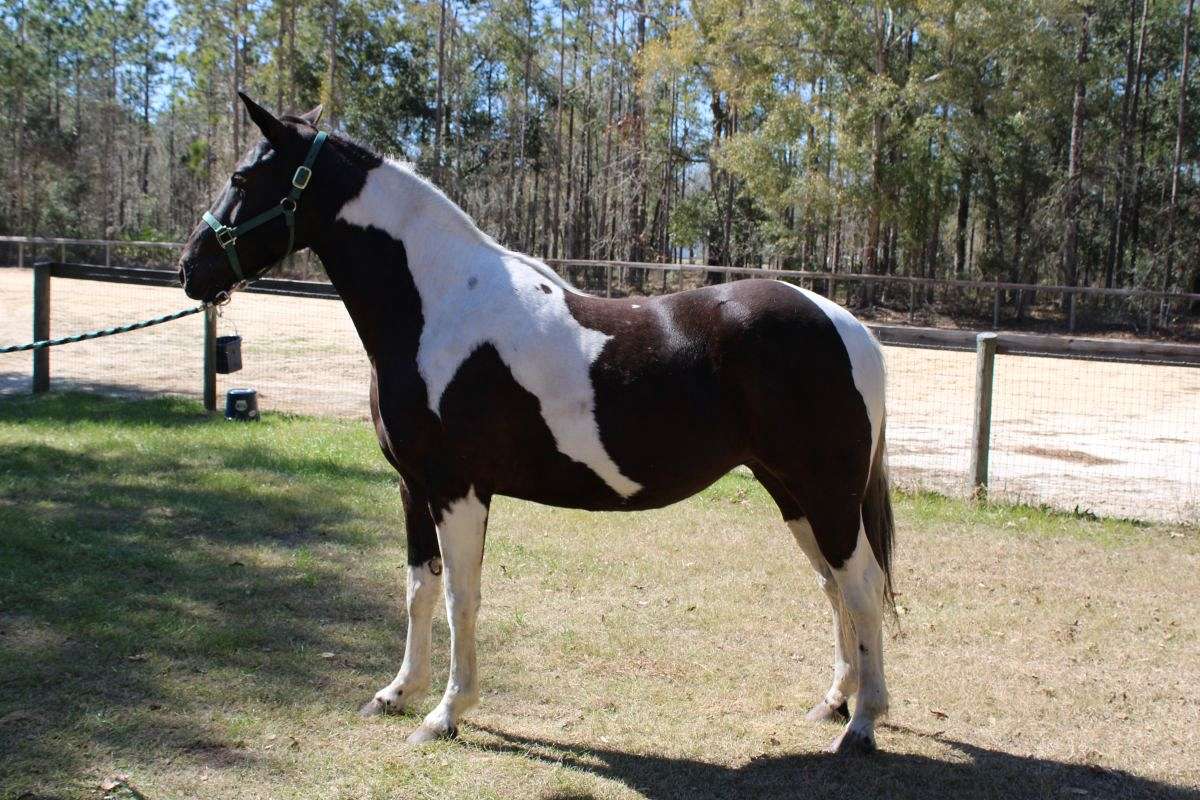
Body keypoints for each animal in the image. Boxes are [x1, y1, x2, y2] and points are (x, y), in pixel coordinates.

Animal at [177, 93, 897, 755]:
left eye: (243, 177)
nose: (190, 268)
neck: (436, 306)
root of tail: (846, 325)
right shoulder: (414, 487)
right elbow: (418, 589)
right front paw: (398, 693)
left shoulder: (458, 488)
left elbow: (460, 597)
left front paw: (446, 713)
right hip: (792, 493)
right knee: (833, 585)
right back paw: (834, 702)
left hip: (826, 494)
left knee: (860, 586)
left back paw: (862, 723)